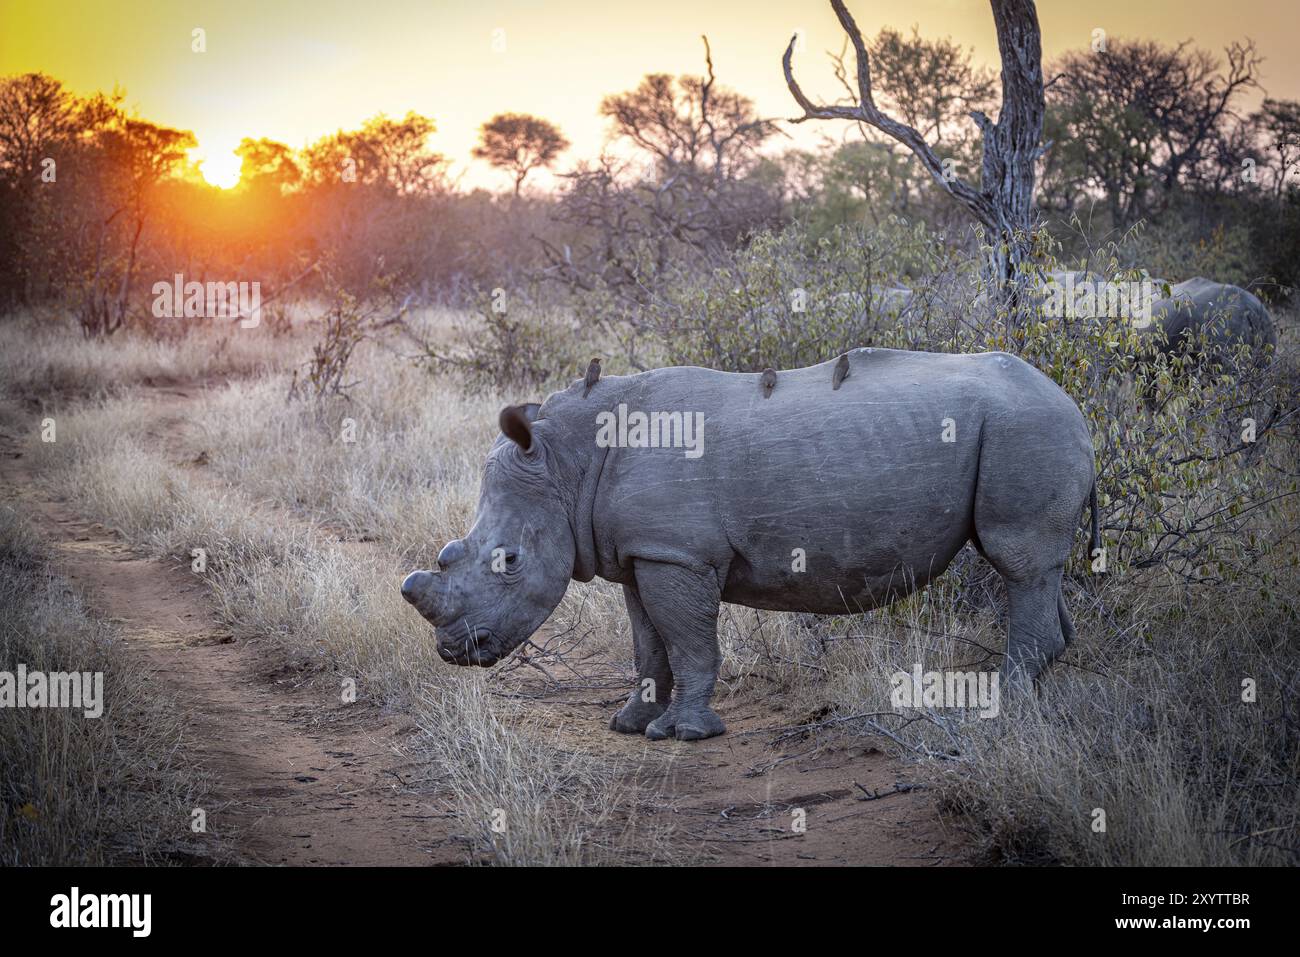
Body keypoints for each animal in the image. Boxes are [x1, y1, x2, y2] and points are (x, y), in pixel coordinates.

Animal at [402, 348, 1099, 741]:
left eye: (509, 561)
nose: (454, 652)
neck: (566, 460)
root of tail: (1075, 405)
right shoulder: (643, 552)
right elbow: (648, 645)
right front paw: (629, 725)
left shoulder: (677, 555)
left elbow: (687, 642)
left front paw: (686, 735)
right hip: (1029, 425)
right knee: (1041, 572)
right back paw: (1037, 696)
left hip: (1025, 427)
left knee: (1019, 563)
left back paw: (1001, 708)